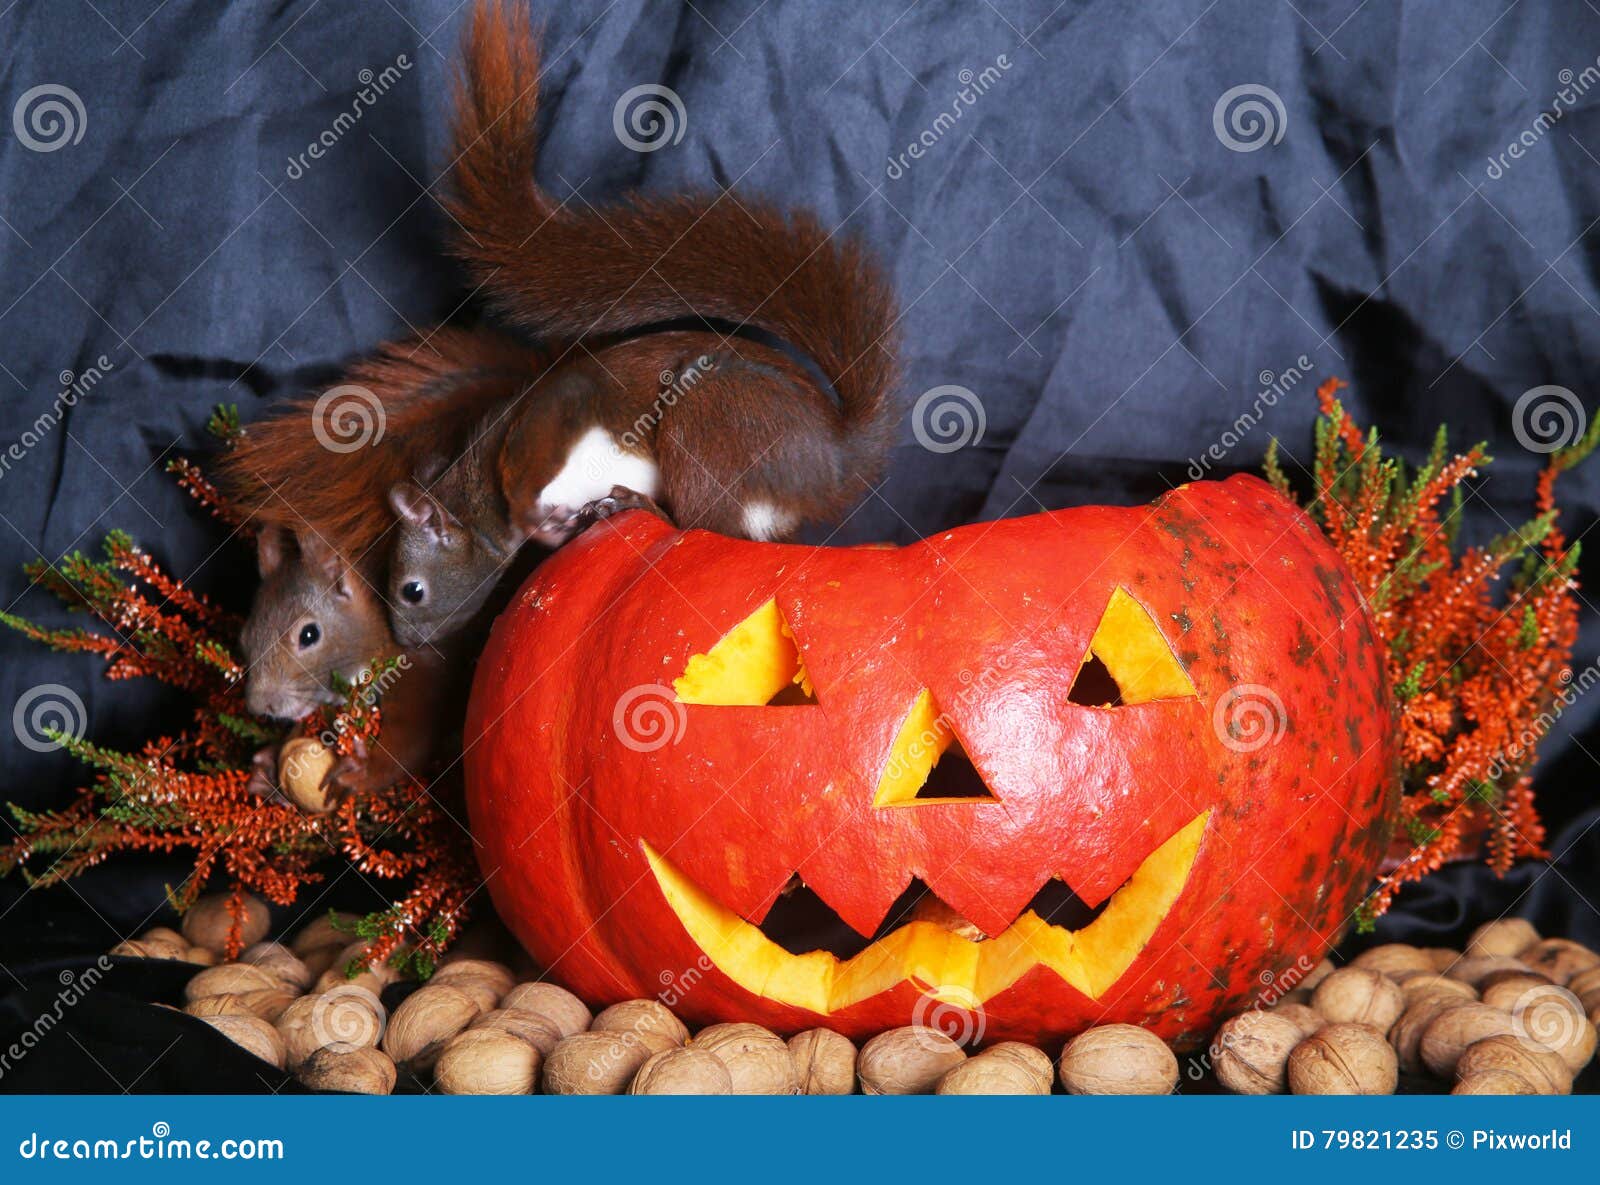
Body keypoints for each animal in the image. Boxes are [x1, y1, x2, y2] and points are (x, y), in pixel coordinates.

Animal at [382, 0, 903, 646]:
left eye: (413, 589)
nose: (408, 645)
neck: (475, 486)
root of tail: (830, 462)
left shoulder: (546, 417)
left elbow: (534, 464)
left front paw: (539, 521)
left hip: (713, 415)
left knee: (708, 527)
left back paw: (638, 506)